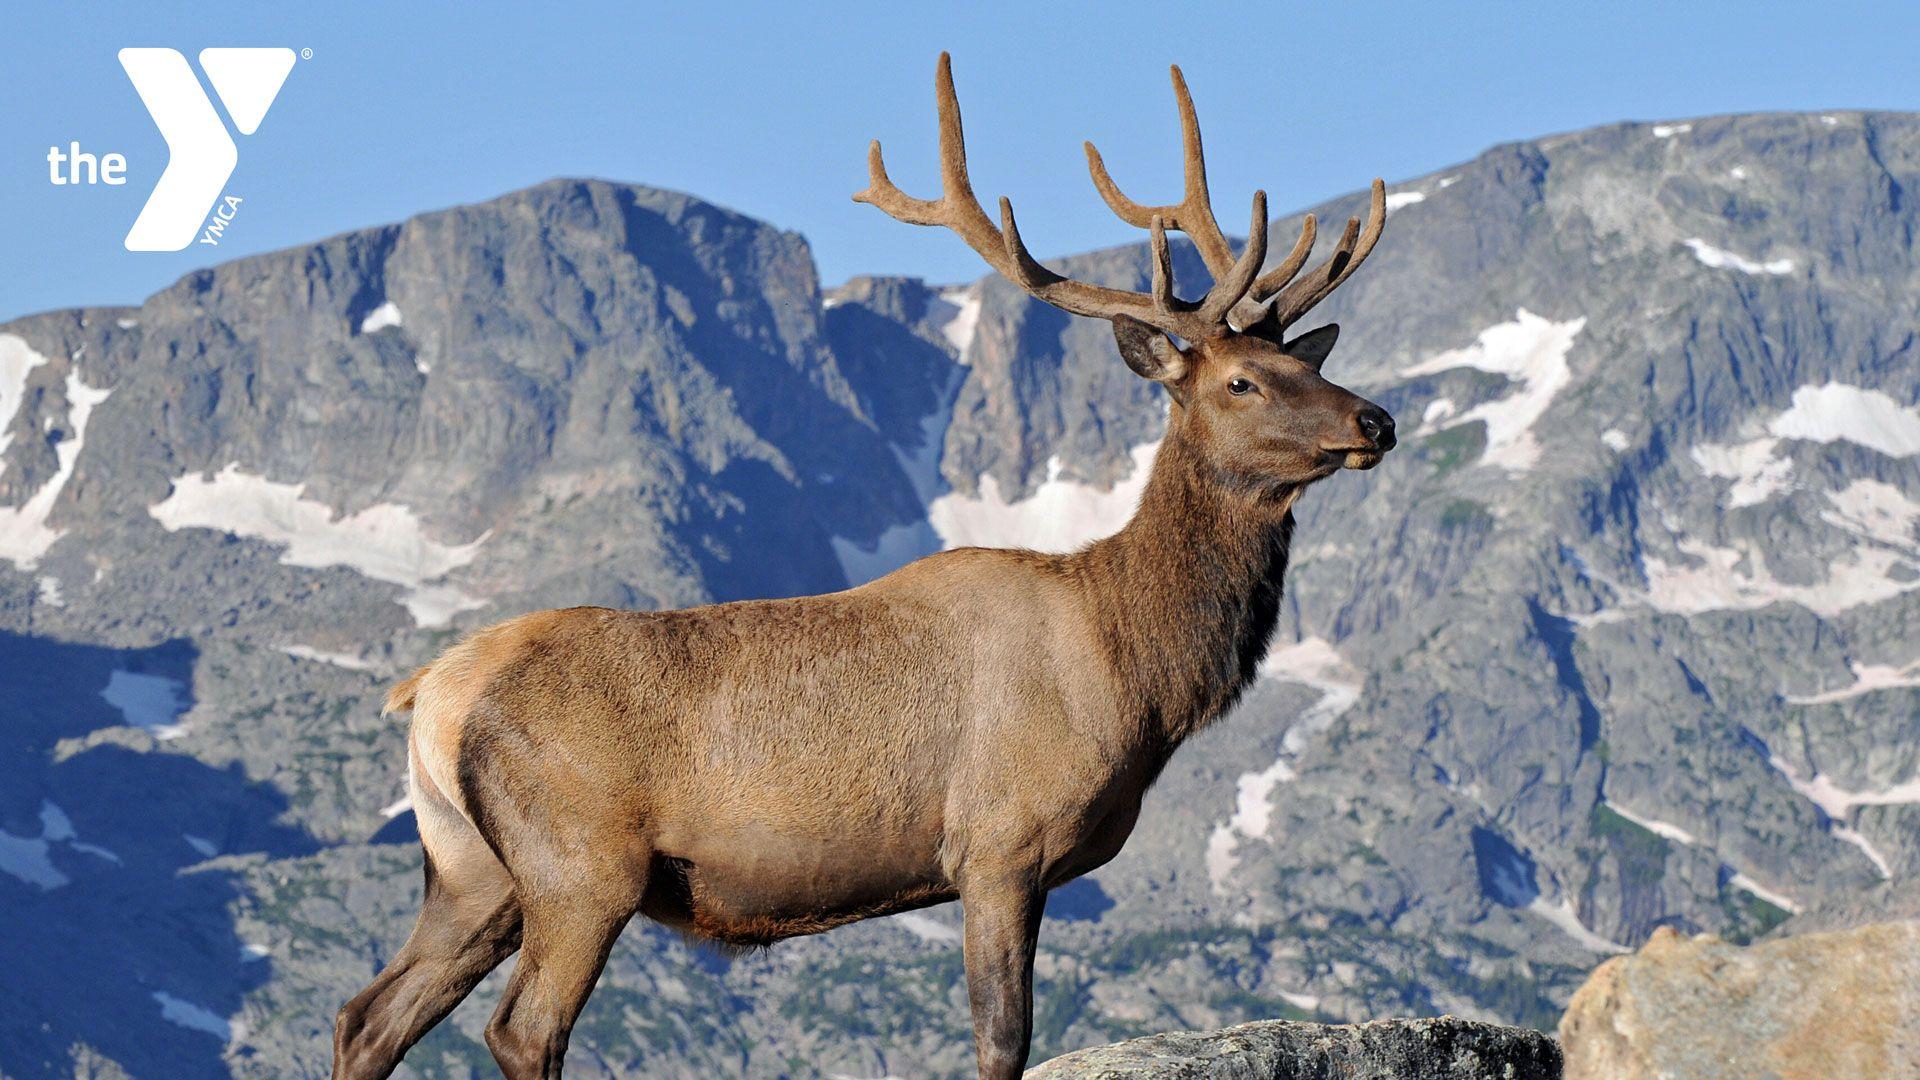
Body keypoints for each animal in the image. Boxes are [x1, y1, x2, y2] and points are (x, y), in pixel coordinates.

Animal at [331, 53, 1394, 1080]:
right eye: (1242, 381)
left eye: (1311, 363)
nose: (1374, 420)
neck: (1135, 672)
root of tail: (431, 691)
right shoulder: (999, 843)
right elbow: (1002, 1037)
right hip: (580, 861)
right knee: (521, 1030)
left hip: (471, 870)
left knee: (367, 1016)